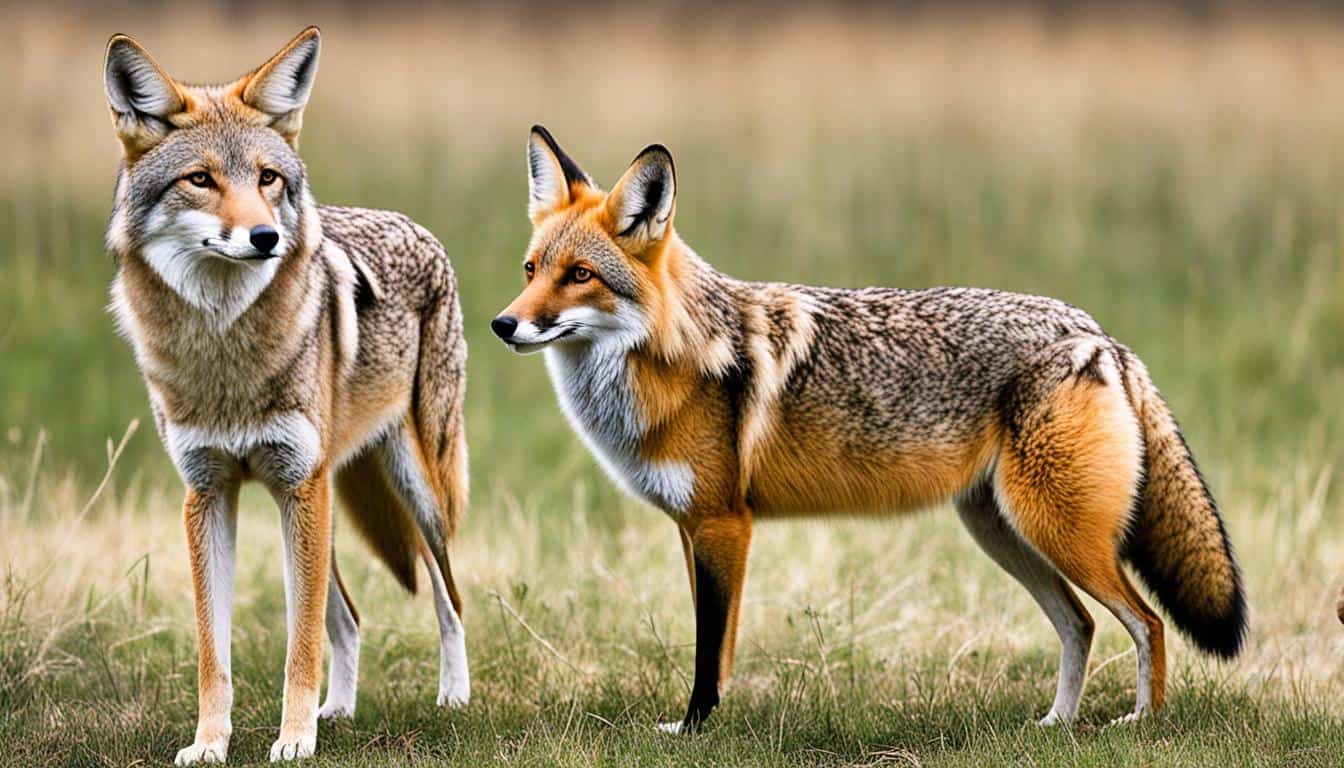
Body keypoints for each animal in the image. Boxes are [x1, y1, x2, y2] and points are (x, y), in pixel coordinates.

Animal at [102, 28, 470, 764]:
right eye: (201, 180)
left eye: (267, 179)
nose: (266, 237)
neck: (225, 353)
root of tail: (412, 222)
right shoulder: (208, 495)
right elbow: (214, 656)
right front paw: (210, 745)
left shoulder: (299, 485)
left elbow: (299, 647)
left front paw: (294, 742)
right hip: (315, 507)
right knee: (349, 617)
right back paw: (341, 711)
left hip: (412, 491)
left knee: (450, 599)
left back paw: (452, 699)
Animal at [493, 126, 1248, 733]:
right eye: (531, 270)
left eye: (580, 275)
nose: (504, 324)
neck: (674, 358)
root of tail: (1095, 332)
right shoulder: (693, 526)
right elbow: (718, 647)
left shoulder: (723, 525)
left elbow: (710, 652)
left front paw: (694, 730)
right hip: (1006, 532)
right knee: (1082, 624)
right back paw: (1057, 724)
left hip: (1057, 531)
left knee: (1147, 622)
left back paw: (1141, 725)